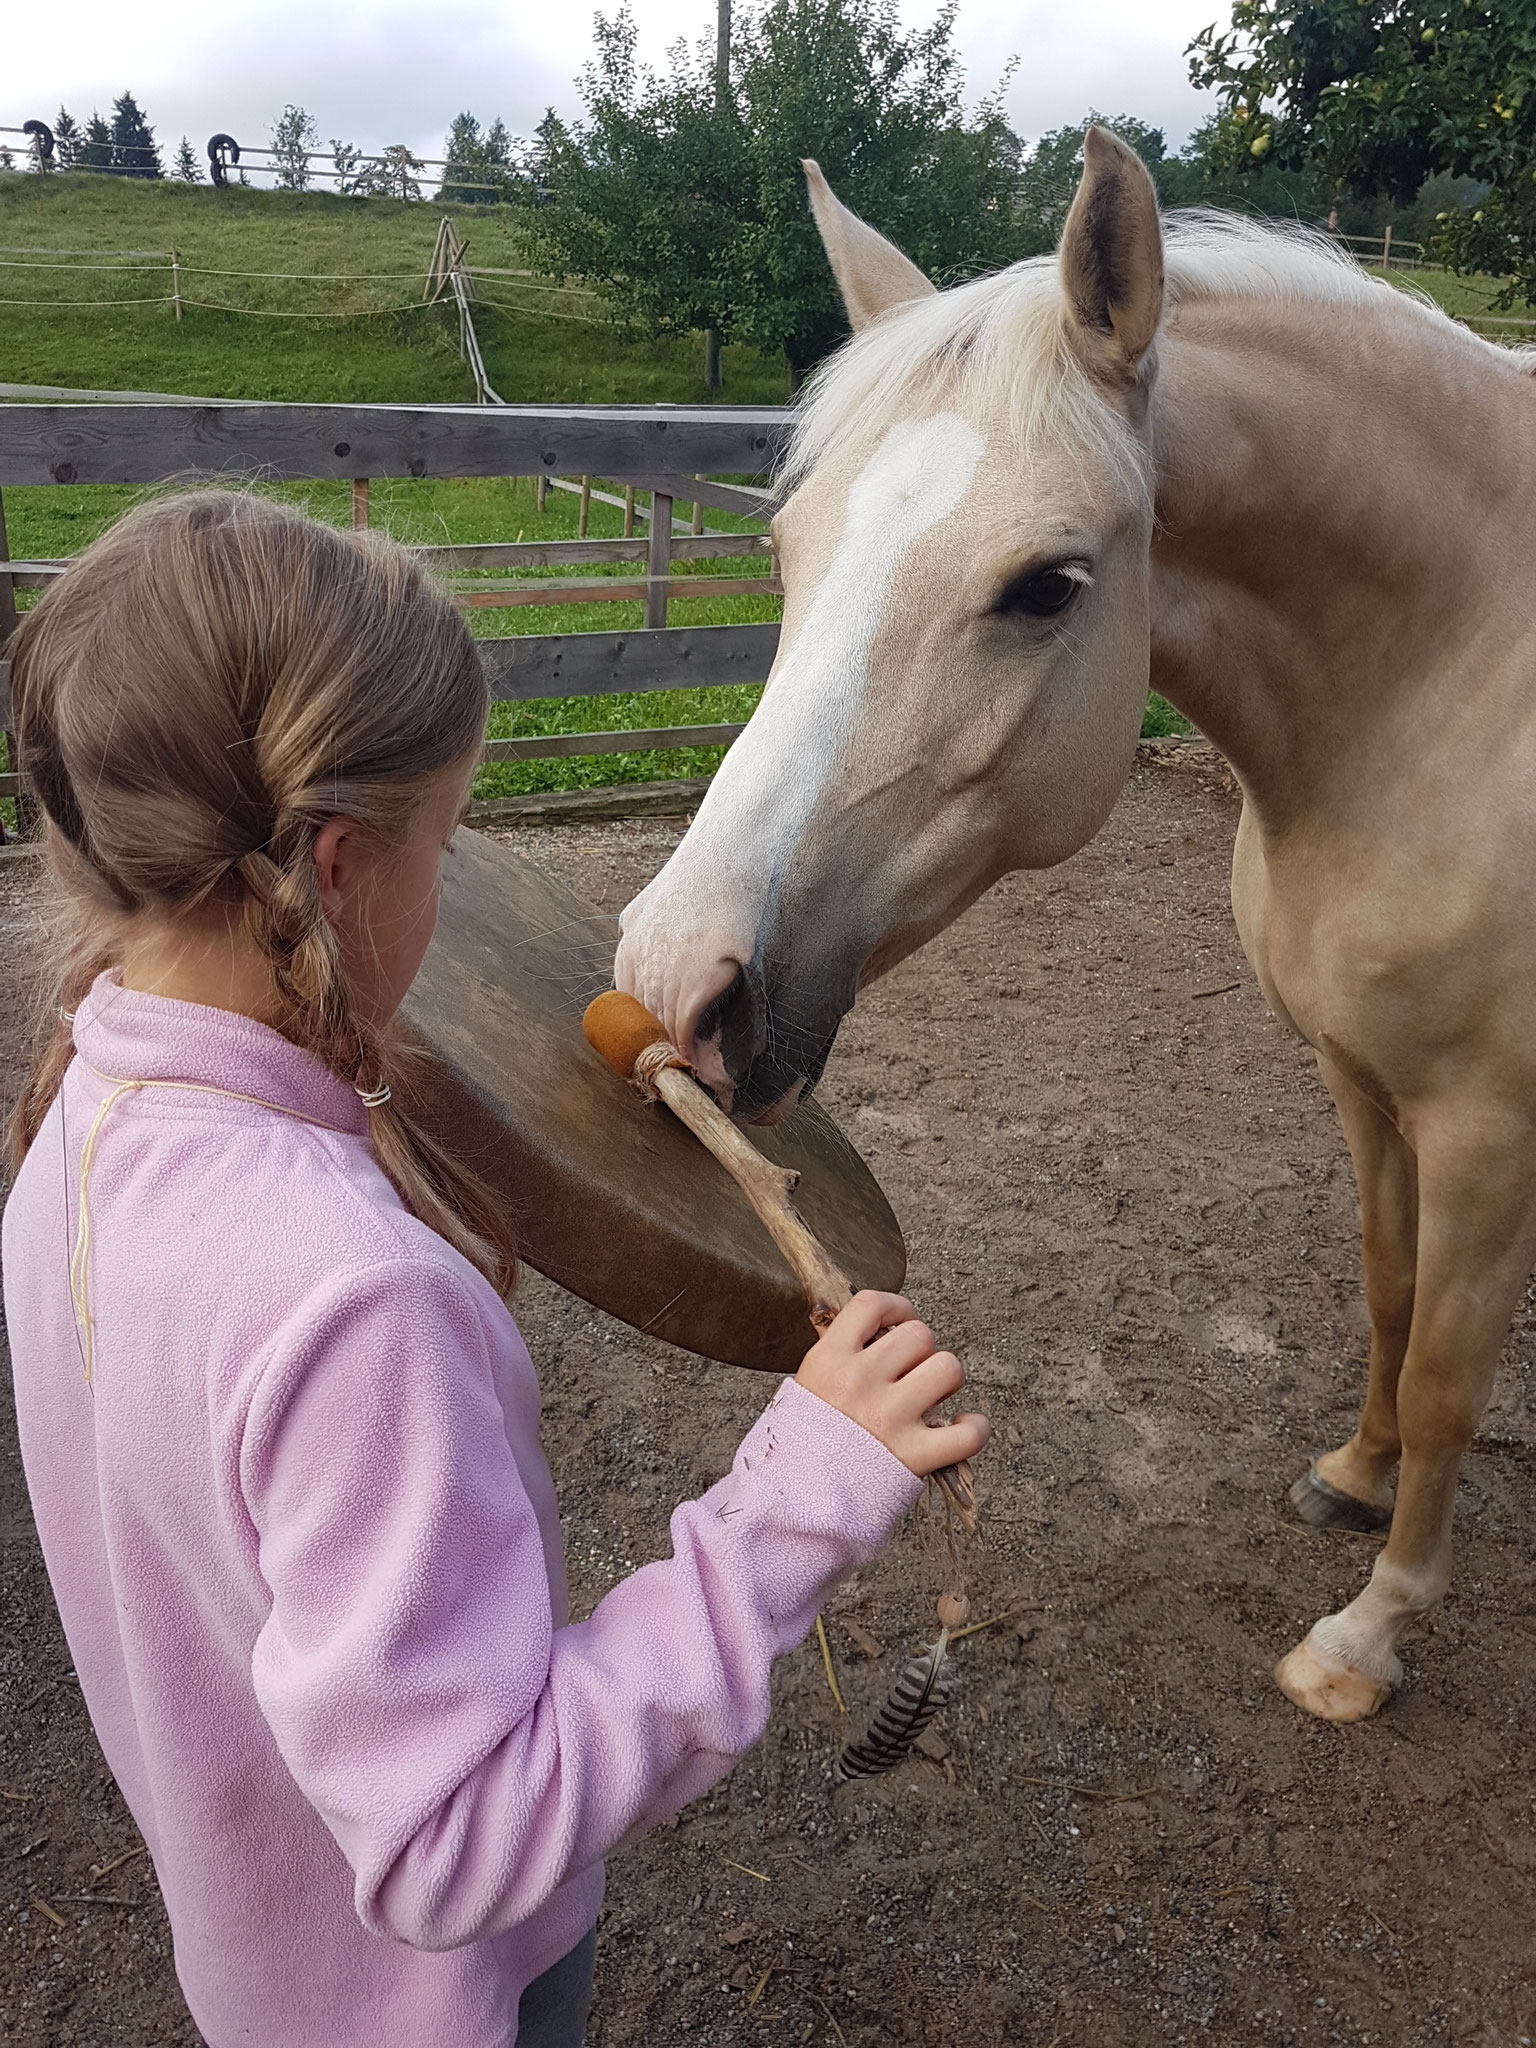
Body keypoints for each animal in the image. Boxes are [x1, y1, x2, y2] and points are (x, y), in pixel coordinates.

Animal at [615, 128, 1536, 1724]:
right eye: (789, 545)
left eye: (1045, 586)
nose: (680, 977)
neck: (1458, 680)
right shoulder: (1365, 1084)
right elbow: (1389, 1290)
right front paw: (1354, 1477)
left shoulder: (1485, 1124)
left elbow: (1446, 1375)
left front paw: (1371, 1628)